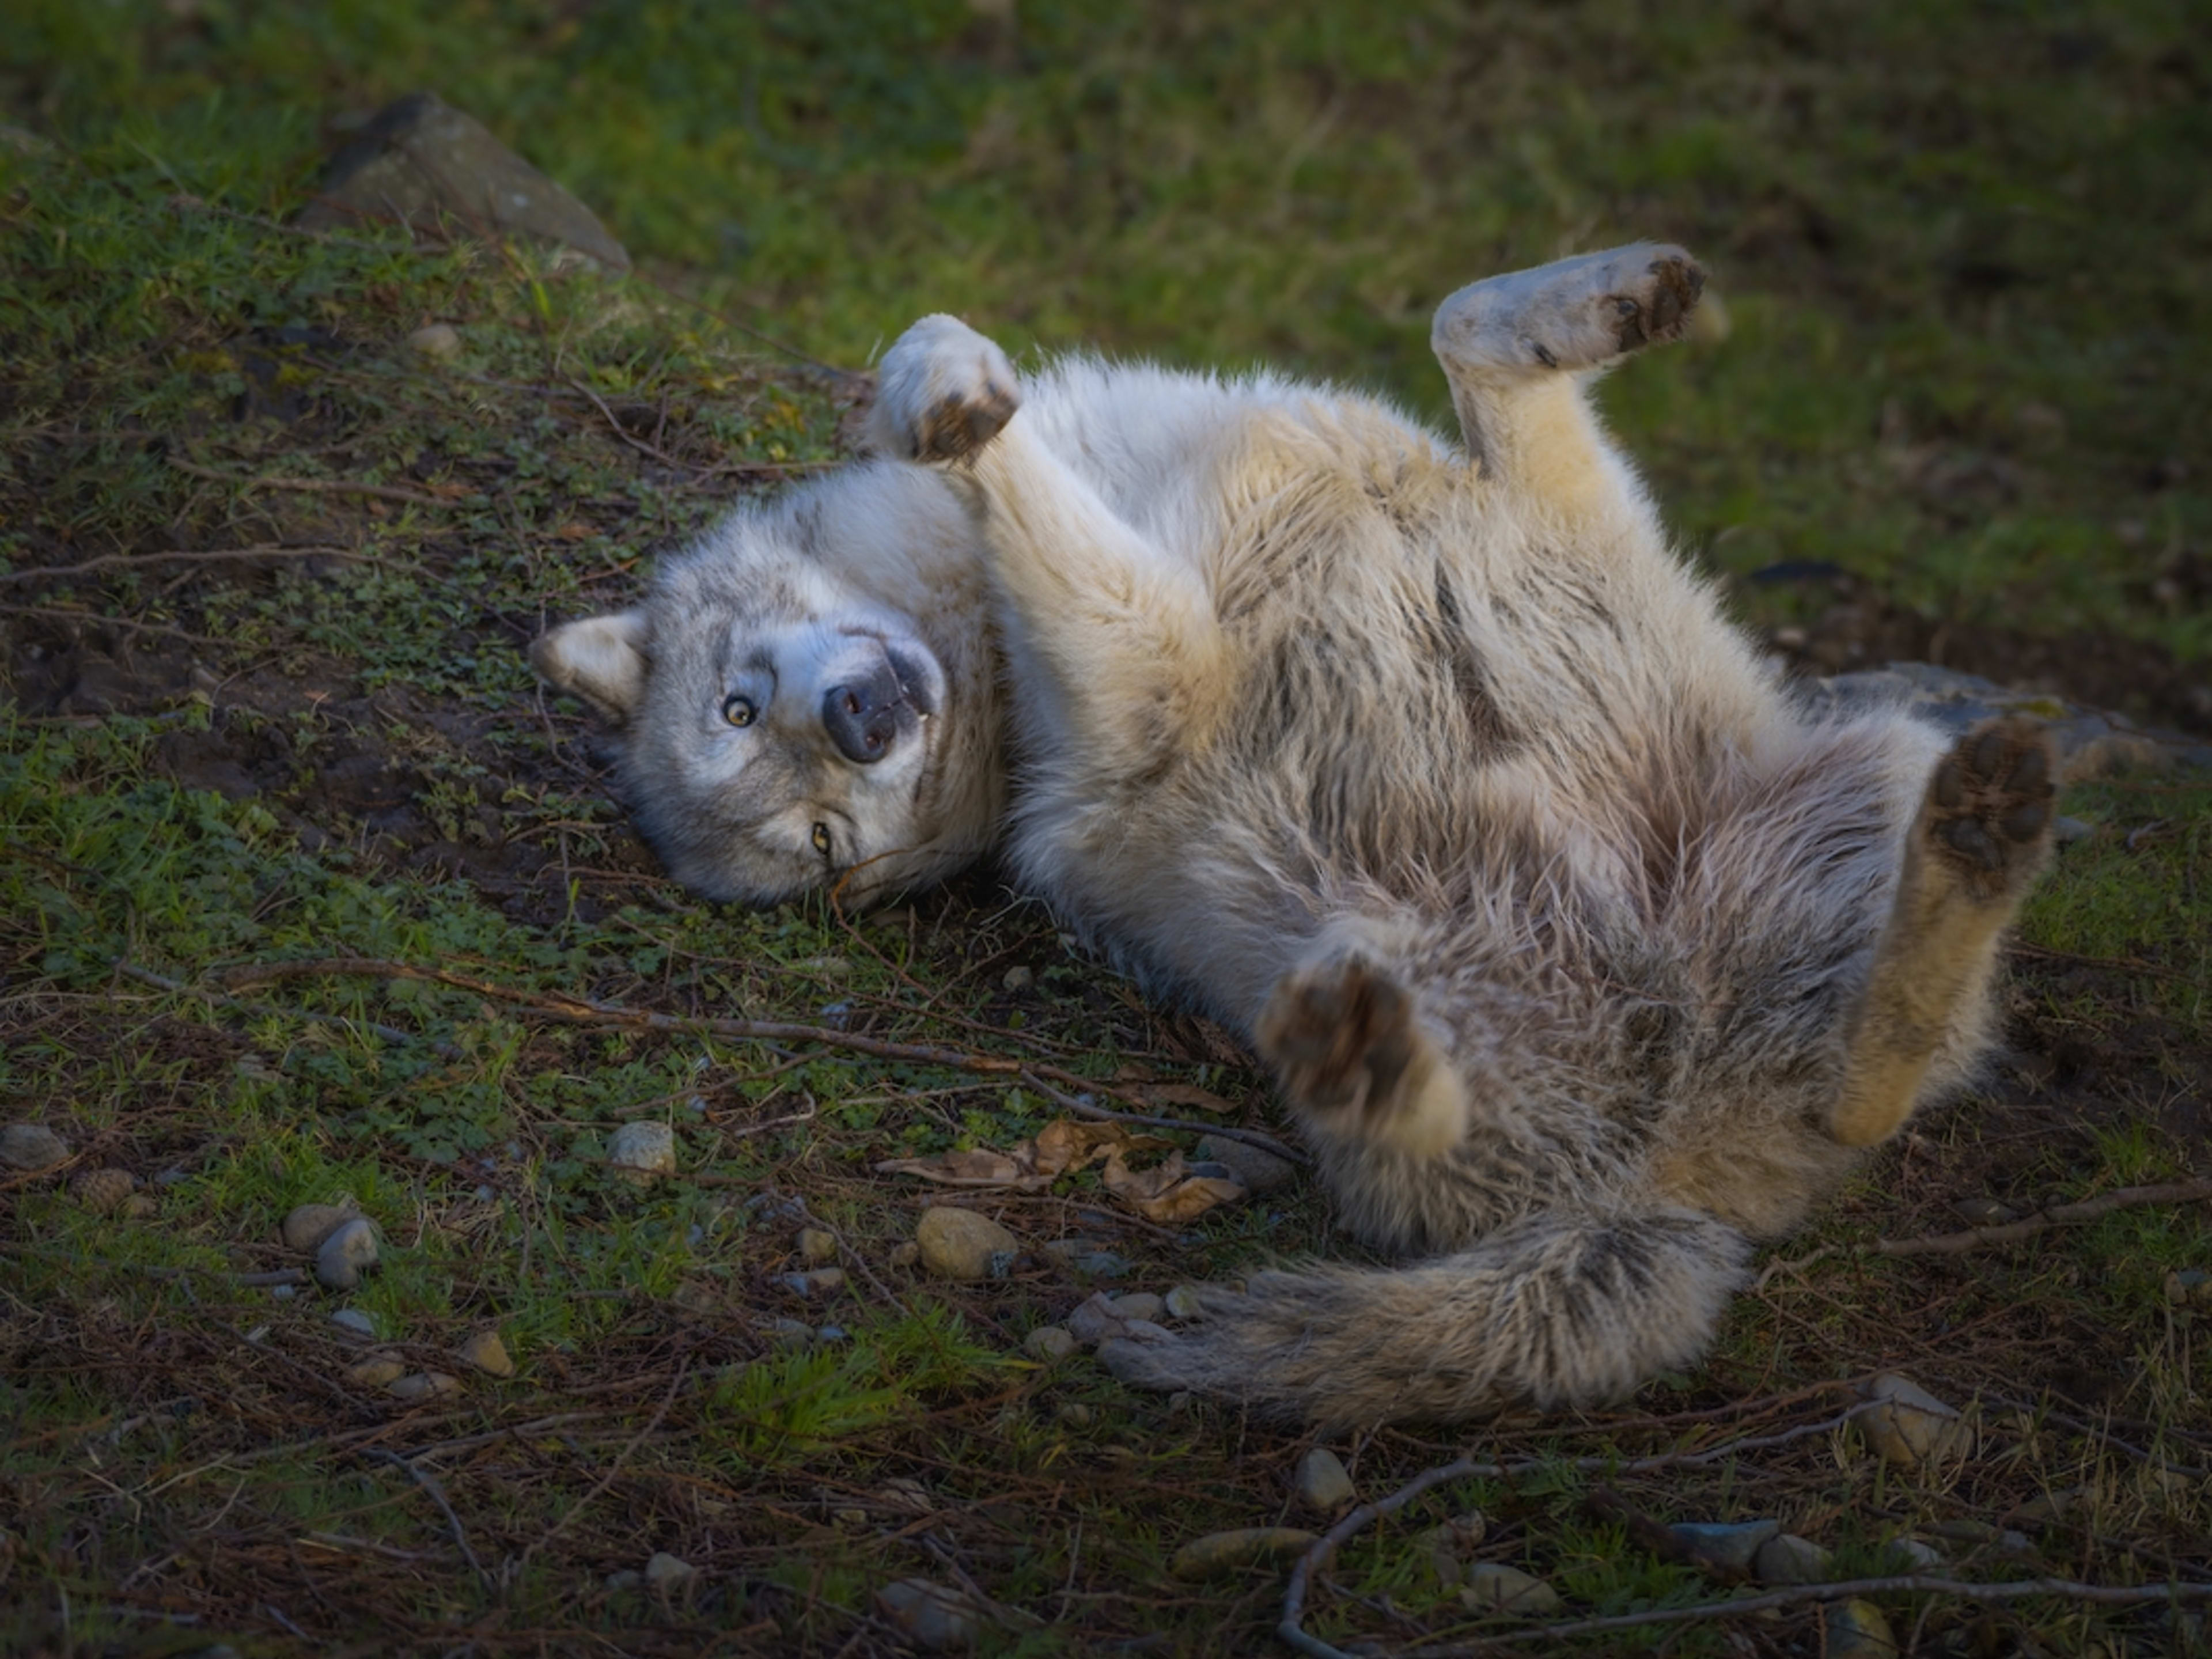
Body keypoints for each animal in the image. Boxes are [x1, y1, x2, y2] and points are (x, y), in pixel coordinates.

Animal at [858, 244, 2057, 1427]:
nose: (862, 715)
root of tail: (1680, 1172)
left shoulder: (1556, 497)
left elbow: (1464, 321)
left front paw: (1619, 297)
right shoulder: (1153, 663)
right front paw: (944, 389)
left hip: (1884, 757)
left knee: (1867, 1084)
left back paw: (1973, 847)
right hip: (1382, 949)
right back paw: (1360, 1055)